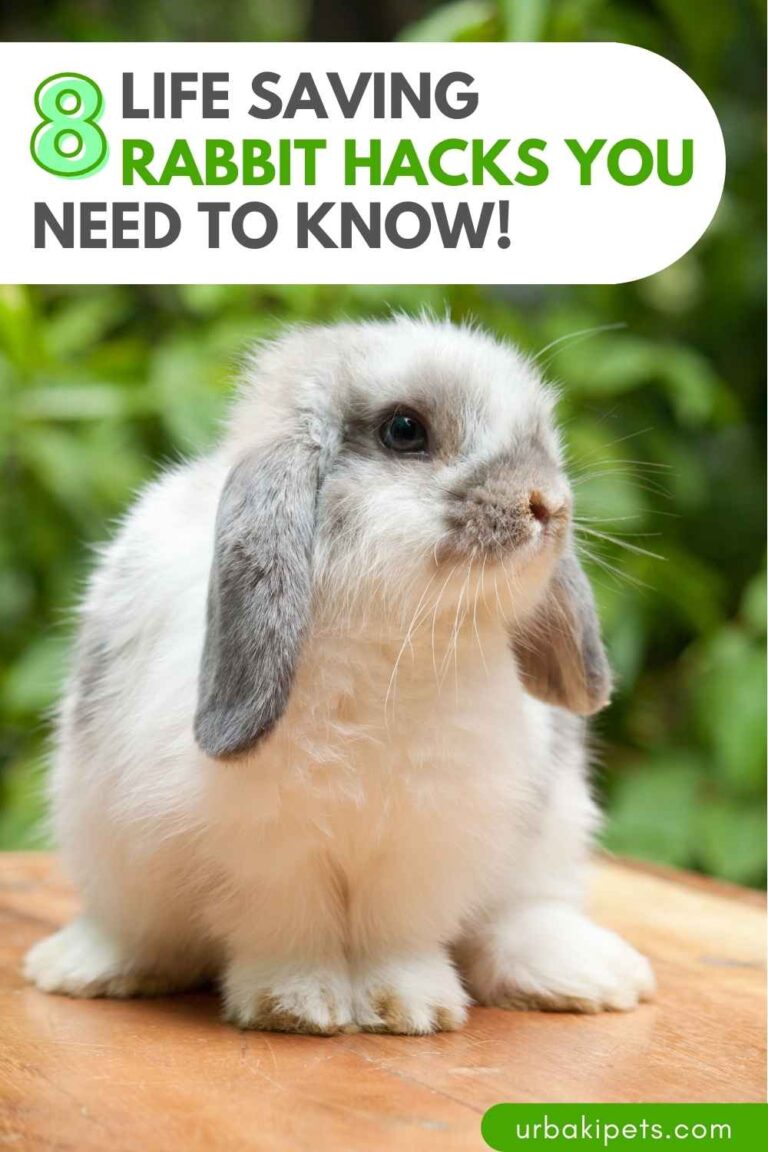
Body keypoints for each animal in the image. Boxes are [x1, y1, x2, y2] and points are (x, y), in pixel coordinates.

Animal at [24, 316, 654, 1034]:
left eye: (542, 437)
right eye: (405, 430)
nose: (547, 504)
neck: (384, 643)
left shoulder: (428, 840)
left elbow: (398, 934)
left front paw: (408, 1007)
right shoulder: (267, 850)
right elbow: (289, 928)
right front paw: (298, 1006)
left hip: (552, 839)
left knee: (521, 918)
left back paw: (589, 975)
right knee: (141, 931)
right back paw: (84, 967)